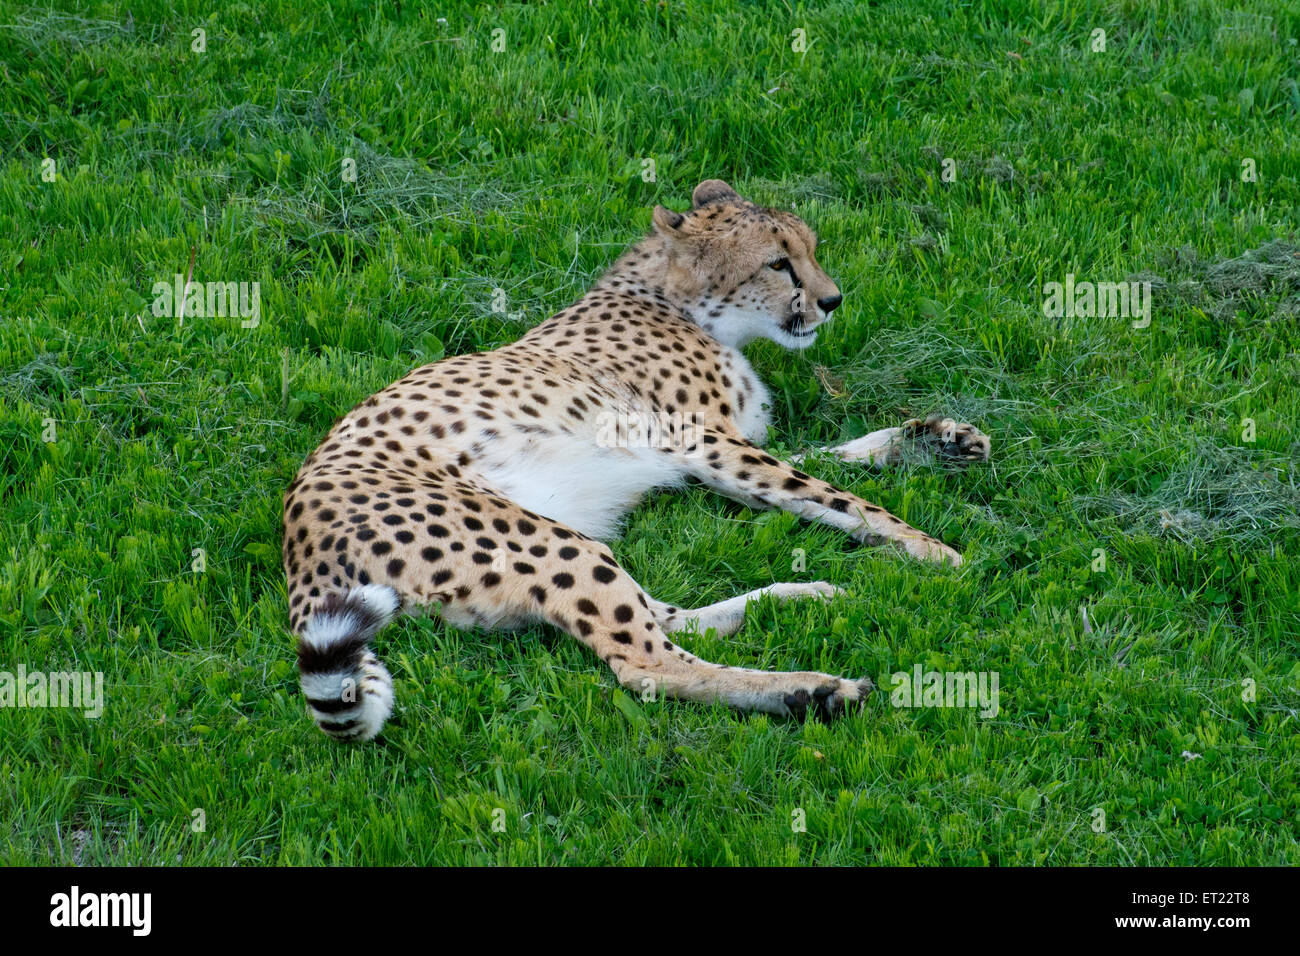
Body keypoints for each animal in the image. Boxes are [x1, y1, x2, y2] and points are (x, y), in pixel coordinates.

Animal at [283, 179, 990, 742]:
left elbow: (833, 463)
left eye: (810, 251)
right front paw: (937, 552)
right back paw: (809, 688)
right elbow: (834, 494)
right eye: (778, 263)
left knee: (667, 620)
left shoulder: (721, 448)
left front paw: (938, 439)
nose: (832, 300)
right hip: (544, 540)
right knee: (646, 664)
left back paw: (802, 595)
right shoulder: (709, 445)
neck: (679, 301)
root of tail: (296, 539)